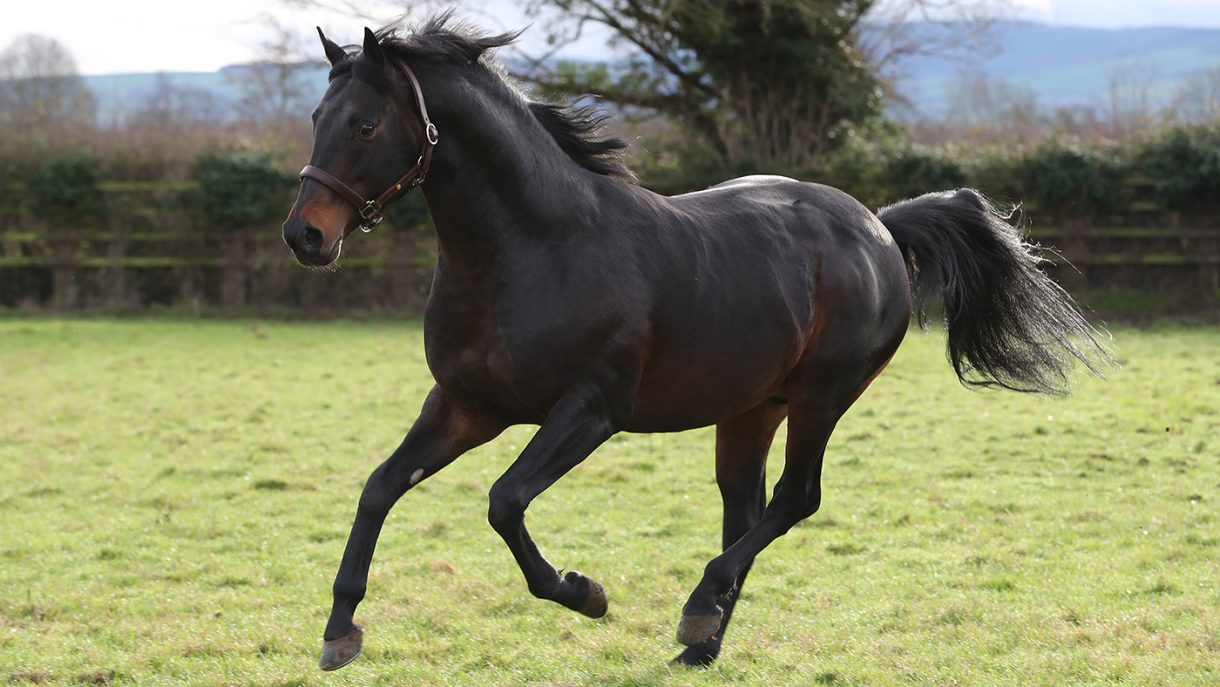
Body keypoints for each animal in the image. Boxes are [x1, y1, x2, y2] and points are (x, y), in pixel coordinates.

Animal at [281, 14, 1112, 671]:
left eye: (365, 125)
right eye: (317, 115)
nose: (304, 236)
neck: (532, 247)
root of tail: (879, 226)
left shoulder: (588, 411)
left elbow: (504, 501)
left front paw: (585, 592)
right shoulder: (465, 405)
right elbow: (379, 487)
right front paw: (339, 632)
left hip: (822, 396)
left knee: (795, 499)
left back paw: (700, 606)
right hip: (750, 409)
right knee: (745, 510)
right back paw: (701, 641)